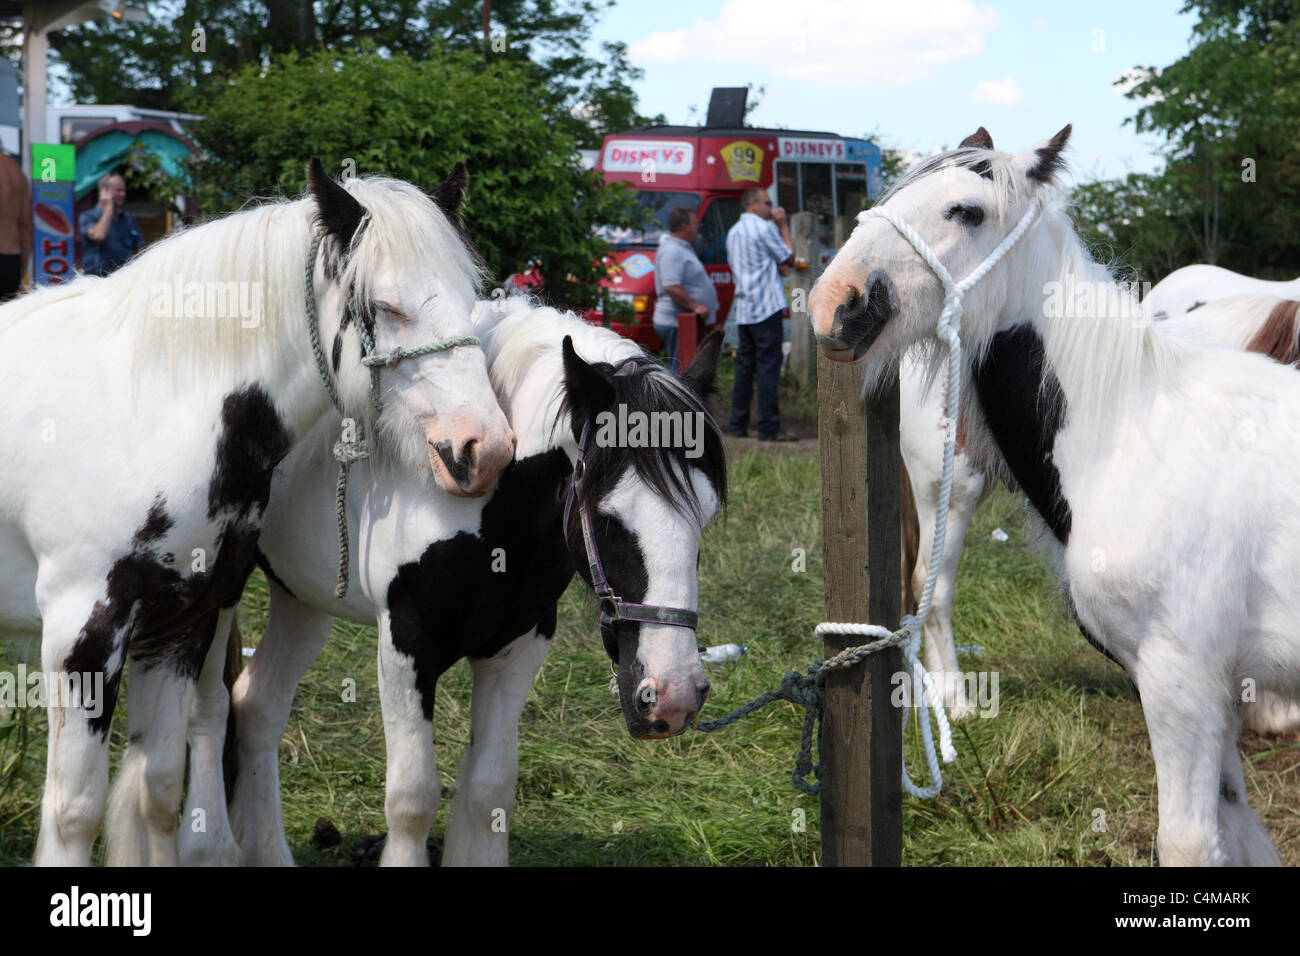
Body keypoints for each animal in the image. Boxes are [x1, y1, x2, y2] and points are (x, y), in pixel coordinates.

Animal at [0, 160, 515, 866]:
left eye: (471, 300)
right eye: (386, 307)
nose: (485, 449)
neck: (147, 407)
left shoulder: (182, 622)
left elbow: (159, 787)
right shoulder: (82, 632)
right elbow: (75, 812)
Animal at [172, 296, 727, 866]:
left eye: (707, 517)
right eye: (610, 517)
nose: (674, 697)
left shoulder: (518, 646)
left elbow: (489, 790)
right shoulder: (405, 648)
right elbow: (412, 799)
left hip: (301, 598)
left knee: (257, 706)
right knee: (208, 712)